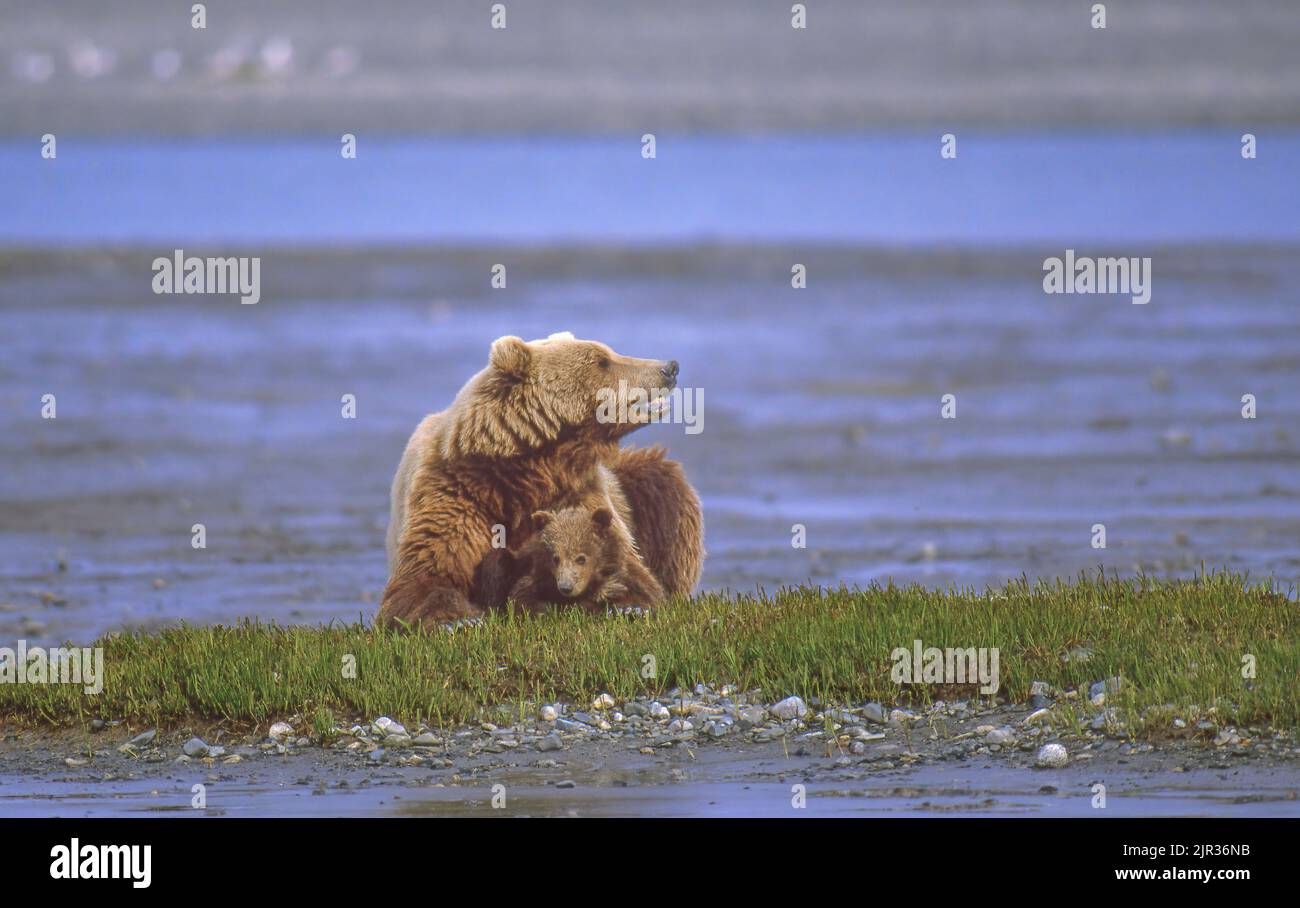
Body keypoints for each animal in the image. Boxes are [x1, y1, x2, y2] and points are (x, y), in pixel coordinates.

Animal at [478, 506, 666, 615]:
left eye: (581, 558)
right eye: (555, 558)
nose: (566, 587)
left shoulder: (627, 574)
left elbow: (649, 593)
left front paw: (630, 608)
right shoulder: (535, 573)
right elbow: (522, 596)